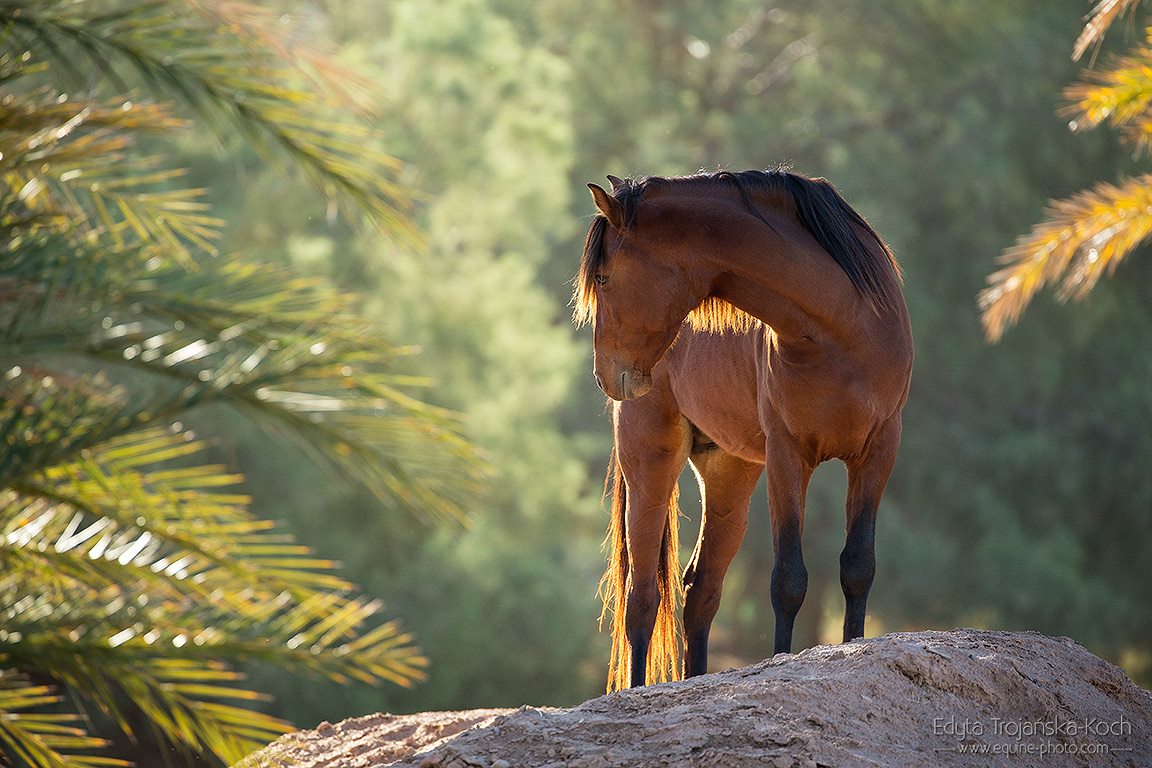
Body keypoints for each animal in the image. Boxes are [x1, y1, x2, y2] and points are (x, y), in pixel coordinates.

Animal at [573, 169, 912, 692]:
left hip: (728, 476)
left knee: (701, 592)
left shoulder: (877, 452)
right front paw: (781, 661)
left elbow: (858, 565)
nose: (607, 376)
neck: (841, 327)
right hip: (651, 465)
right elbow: (788, 579)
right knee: (643, 597)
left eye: (605, 278)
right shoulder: (788, 455)